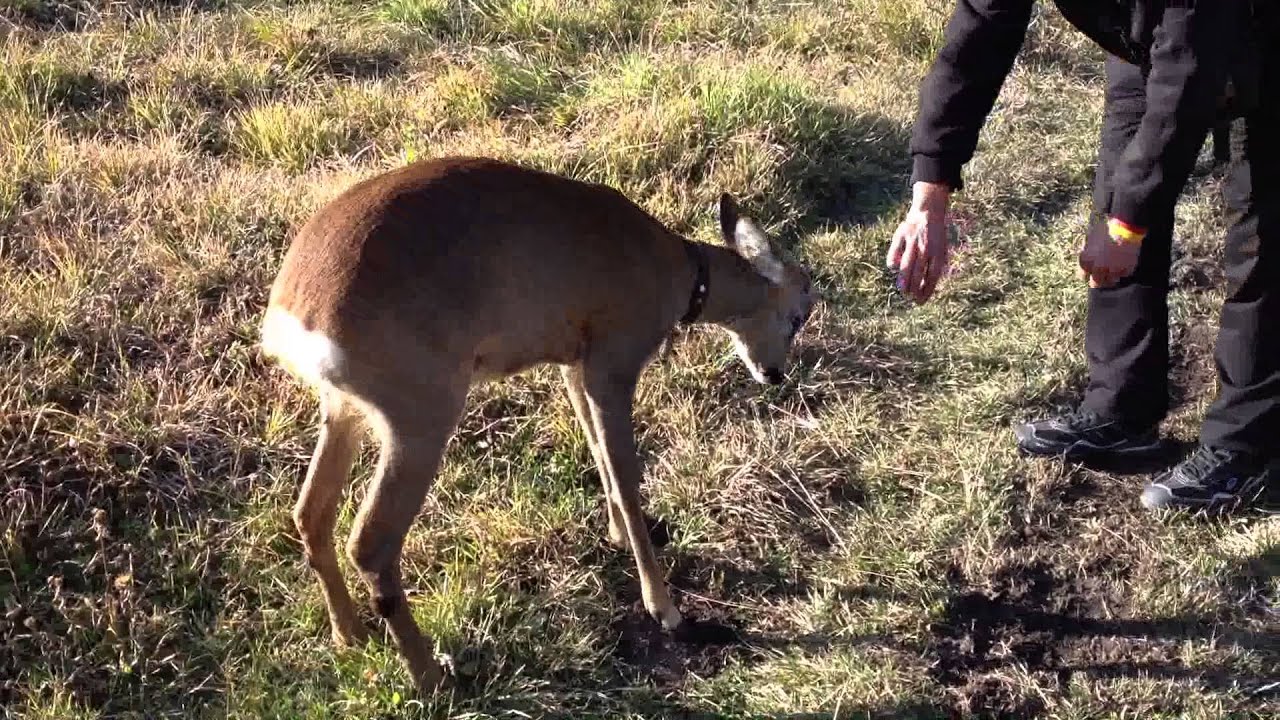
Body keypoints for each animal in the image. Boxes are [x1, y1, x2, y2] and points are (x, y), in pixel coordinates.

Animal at [259, 155, 816, 694]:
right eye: (799, 314)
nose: (773, 373)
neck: (673, 273)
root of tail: (294, 316)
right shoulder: (613, 363)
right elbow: (627, 475)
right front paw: (665, 608)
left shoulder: (574, 364)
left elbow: (600, 455)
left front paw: (617, 536)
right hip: (420, 416)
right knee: (371, 543)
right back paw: (435, 679)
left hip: (344, 410)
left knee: (310, 512)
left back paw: (349, 635)